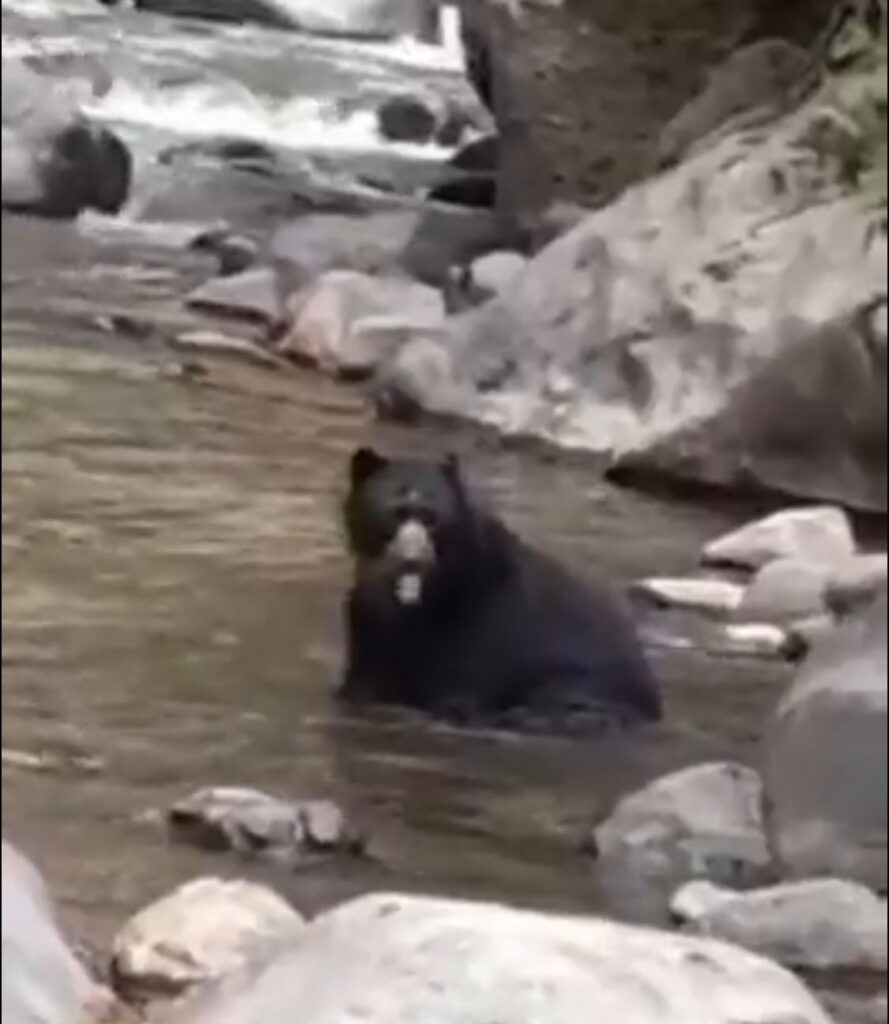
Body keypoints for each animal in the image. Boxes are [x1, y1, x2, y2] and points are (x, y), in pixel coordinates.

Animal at [338, 448, 662, 732]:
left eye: (432, 518)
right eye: (395, 513)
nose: (412, 559)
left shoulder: (476, 626)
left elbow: (456, 688)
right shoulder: (370, 622)